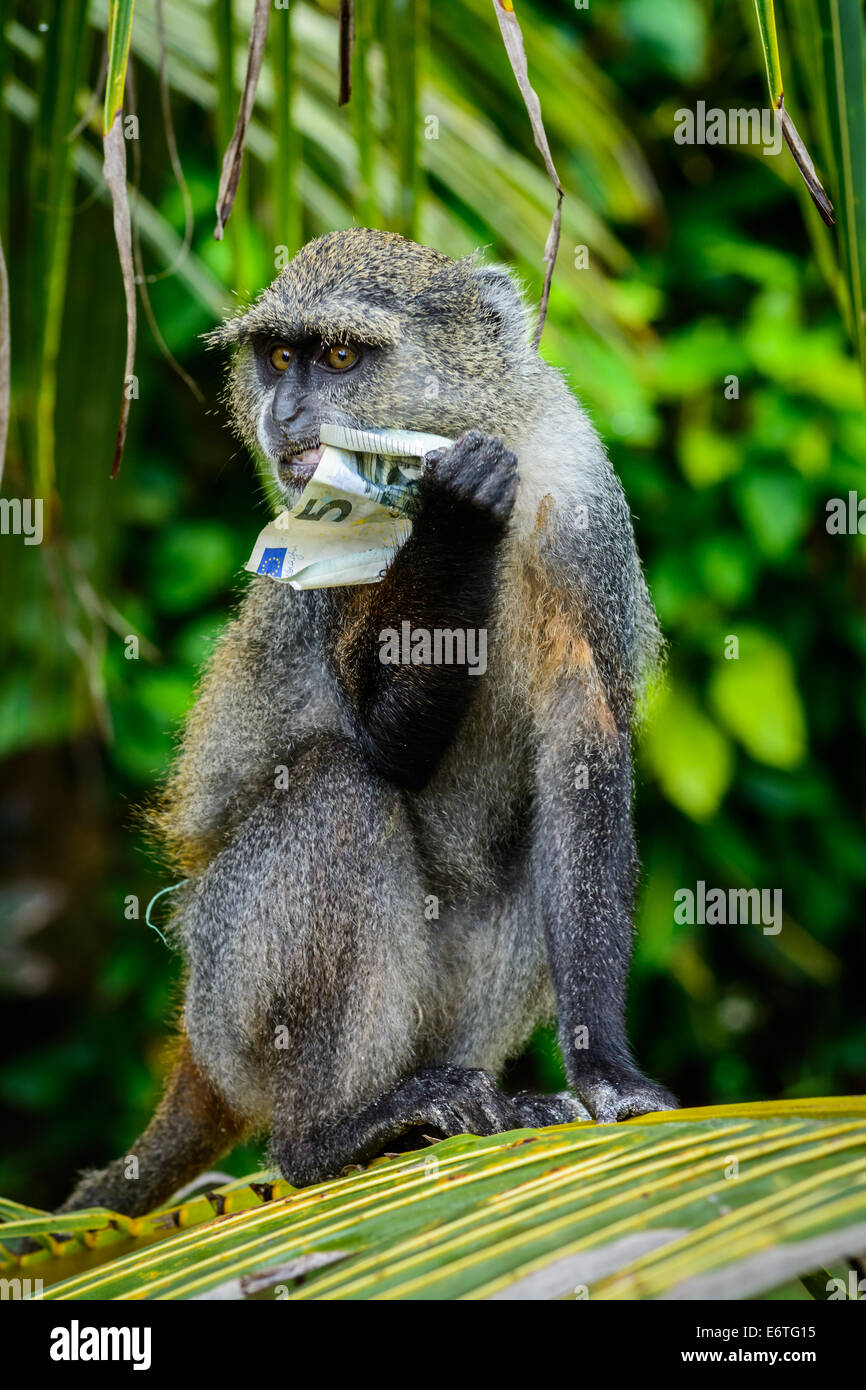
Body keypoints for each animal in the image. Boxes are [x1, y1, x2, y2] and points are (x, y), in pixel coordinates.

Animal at [59, 228, 676, 1218]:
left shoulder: (581, 501)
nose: (287, 414)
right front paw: (459, 517)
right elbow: (386, 749)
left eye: (341, 357)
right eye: (279, 357)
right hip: (233, 995)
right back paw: (334, 1134)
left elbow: (581, 751)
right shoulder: (338, 556)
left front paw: (607, 1073)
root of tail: (200, 1051)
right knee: (338, 791)